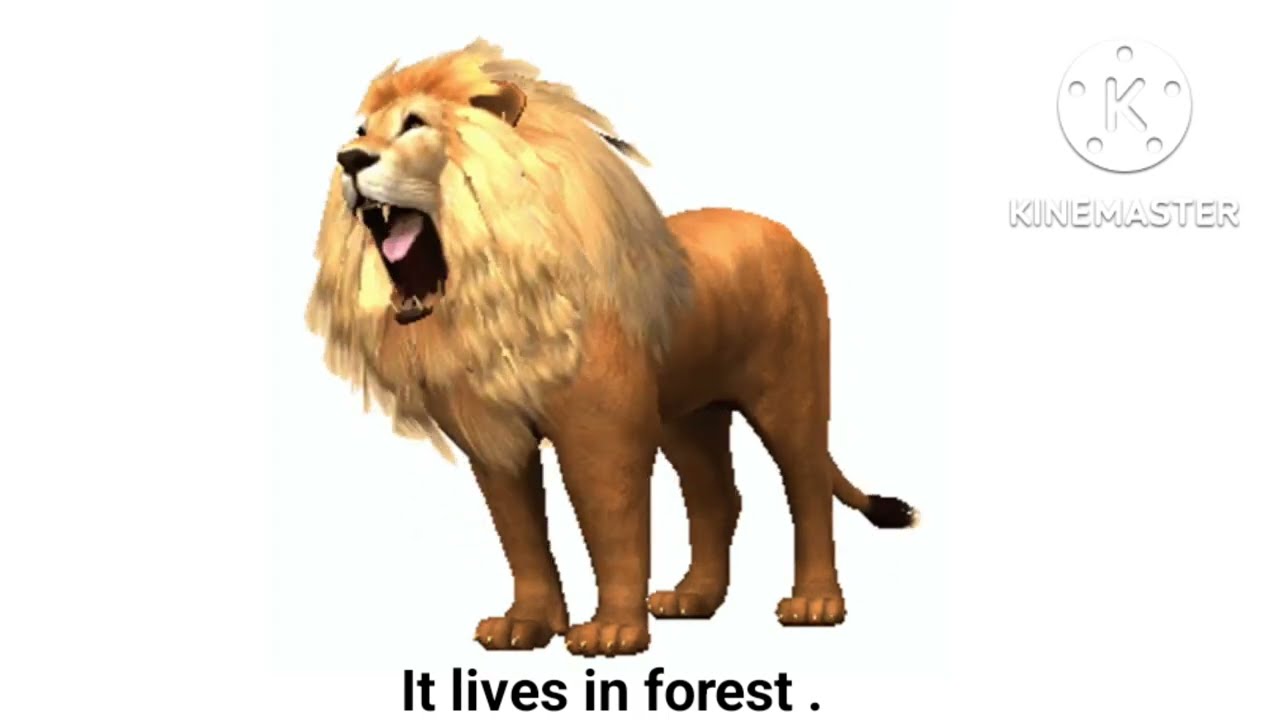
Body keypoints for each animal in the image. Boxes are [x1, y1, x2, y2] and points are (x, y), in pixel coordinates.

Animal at [305, 38, 918, 657]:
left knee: (807, 487)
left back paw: (815, 604)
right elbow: (521, 538)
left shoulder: (602, 433)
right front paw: (524, 625)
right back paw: (693, 598)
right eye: (362, 129)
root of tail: (780, 230)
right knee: (717, 497)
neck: (496, 294)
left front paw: (614, 632)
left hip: (789, 395)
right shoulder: (497, 443)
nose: (348, 159)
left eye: (415, 124)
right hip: (689, 415)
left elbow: (613, 529)